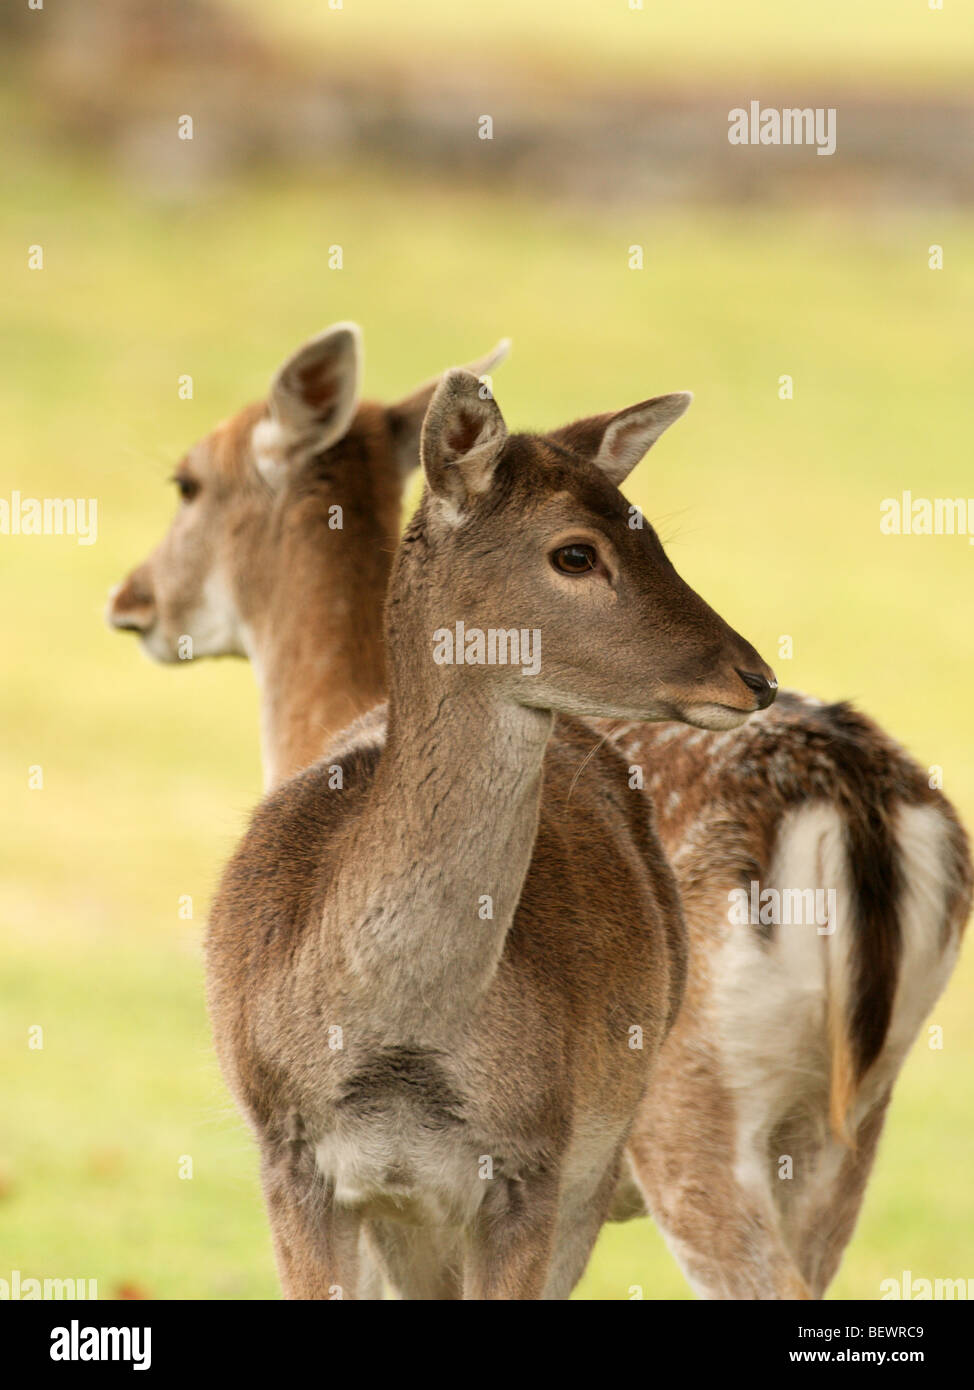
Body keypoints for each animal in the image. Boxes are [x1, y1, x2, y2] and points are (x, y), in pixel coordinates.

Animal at [109, 324, 971, 1298]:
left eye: (187, 481)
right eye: (580, 551)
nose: (132, 599)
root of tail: (860, 803)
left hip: (684, 1111)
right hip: (854, 1116)